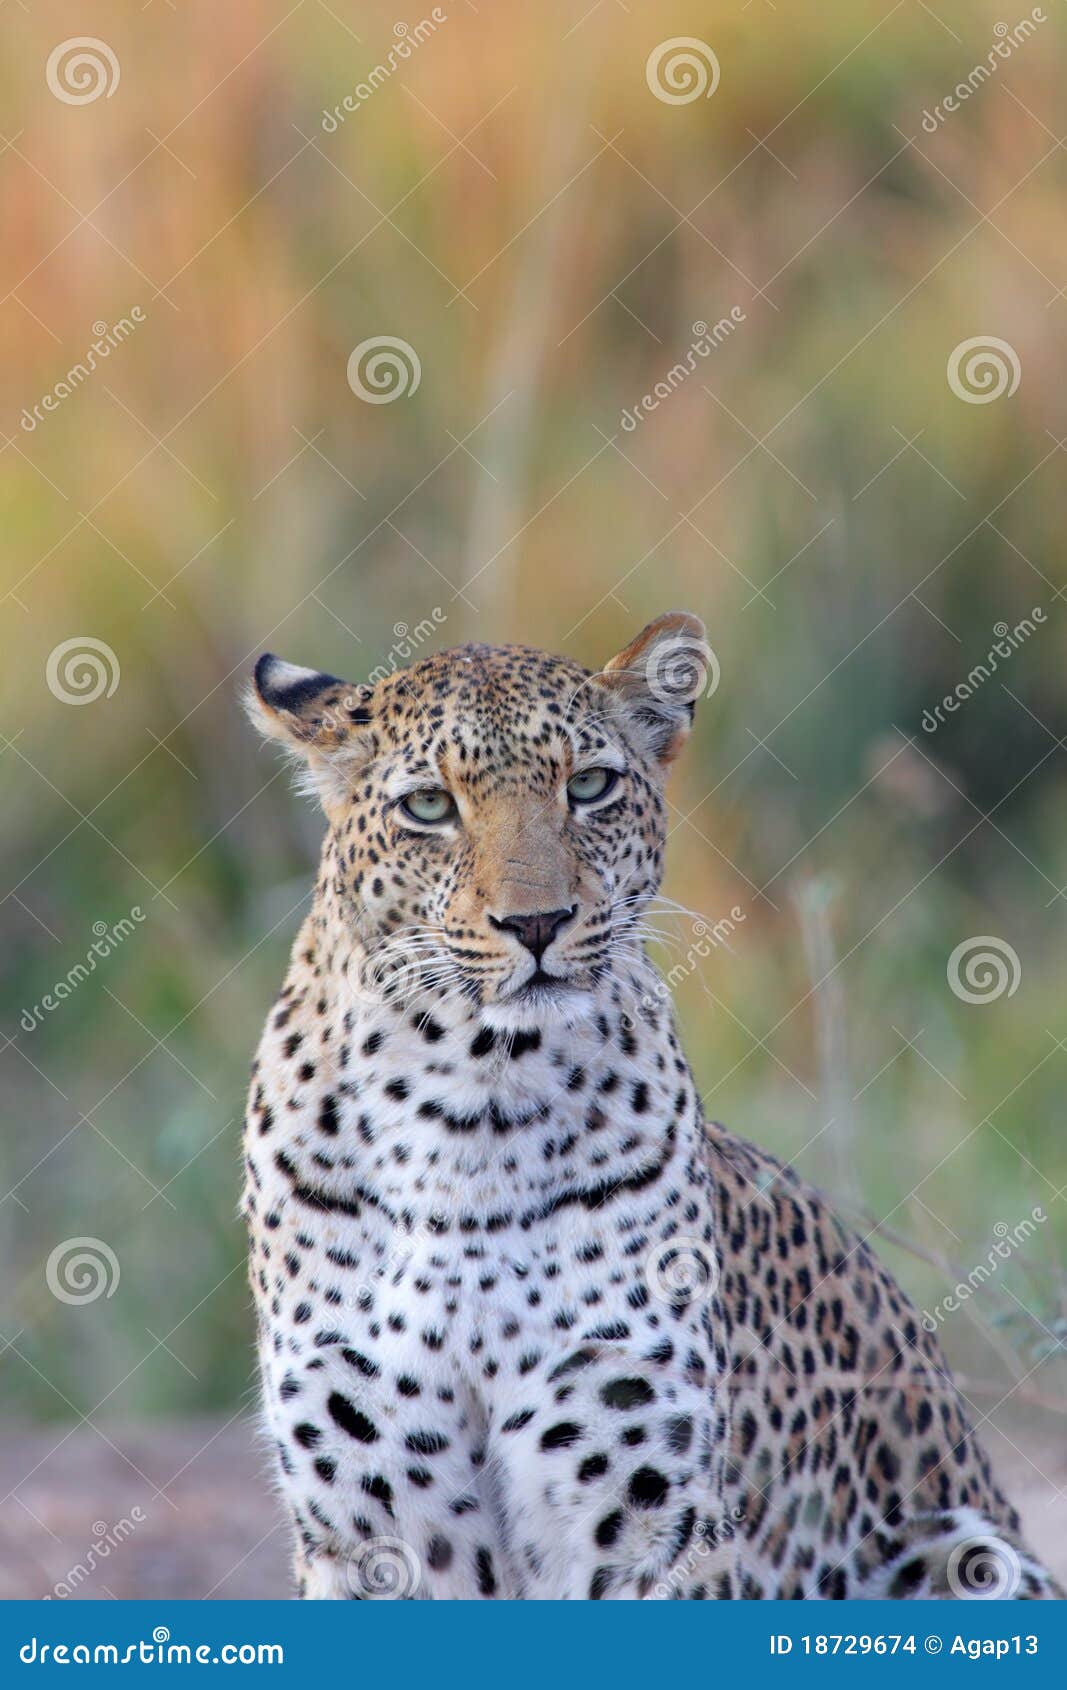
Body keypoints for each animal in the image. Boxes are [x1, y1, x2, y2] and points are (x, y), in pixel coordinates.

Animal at [241, 610, 1059, 1601]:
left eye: (589, 788)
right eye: (429, 807)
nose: (537, 922)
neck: (471, 1100)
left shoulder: (649, 1519)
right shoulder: (368, 1525)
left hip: (970, 1548)